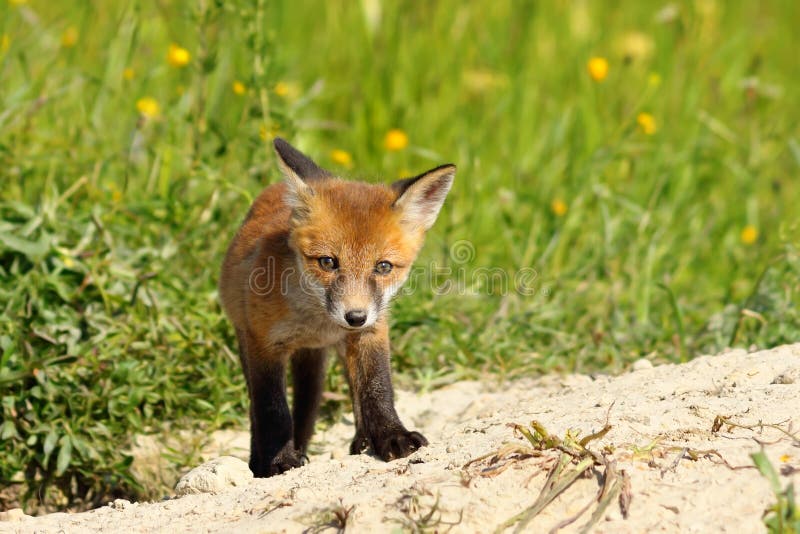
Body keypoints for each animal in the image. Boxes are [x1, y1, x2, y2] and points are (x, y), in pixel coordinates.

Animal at [219, 138, 455, 477]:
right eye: (328, 262)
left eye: (383, 267)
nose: (355, 316)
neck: (318, 323)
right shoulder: (264, 344)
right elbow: (272, 409)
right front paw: (278, 461)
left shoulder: (372, 332)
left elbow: (377, 389)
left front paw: (391, 436)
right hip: (247, 341)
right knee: (259, 407)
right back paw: (261, 459)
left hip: (343, 349)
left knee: (352, 390)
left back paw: (363, 439)